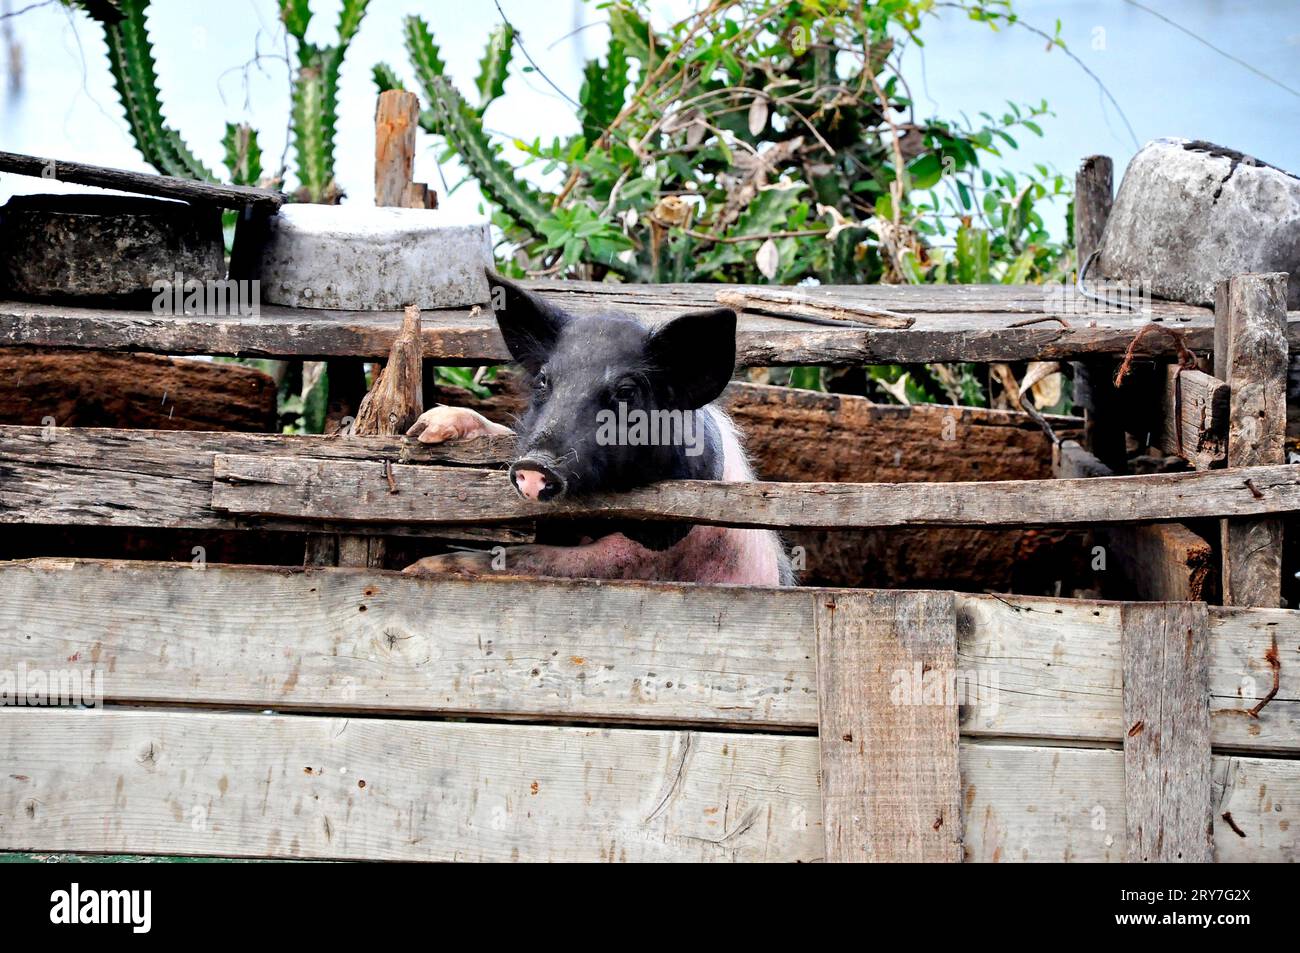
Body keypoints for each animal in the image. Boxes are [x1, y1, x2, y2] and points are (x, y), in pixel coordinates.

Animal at [402, 272, 793, 586]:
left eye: (626, 392)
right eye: (543, 381)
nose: (535, 465)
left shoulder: (662, 547)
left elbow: (554, 559)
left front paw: (419, 568)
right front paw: (425, 430)